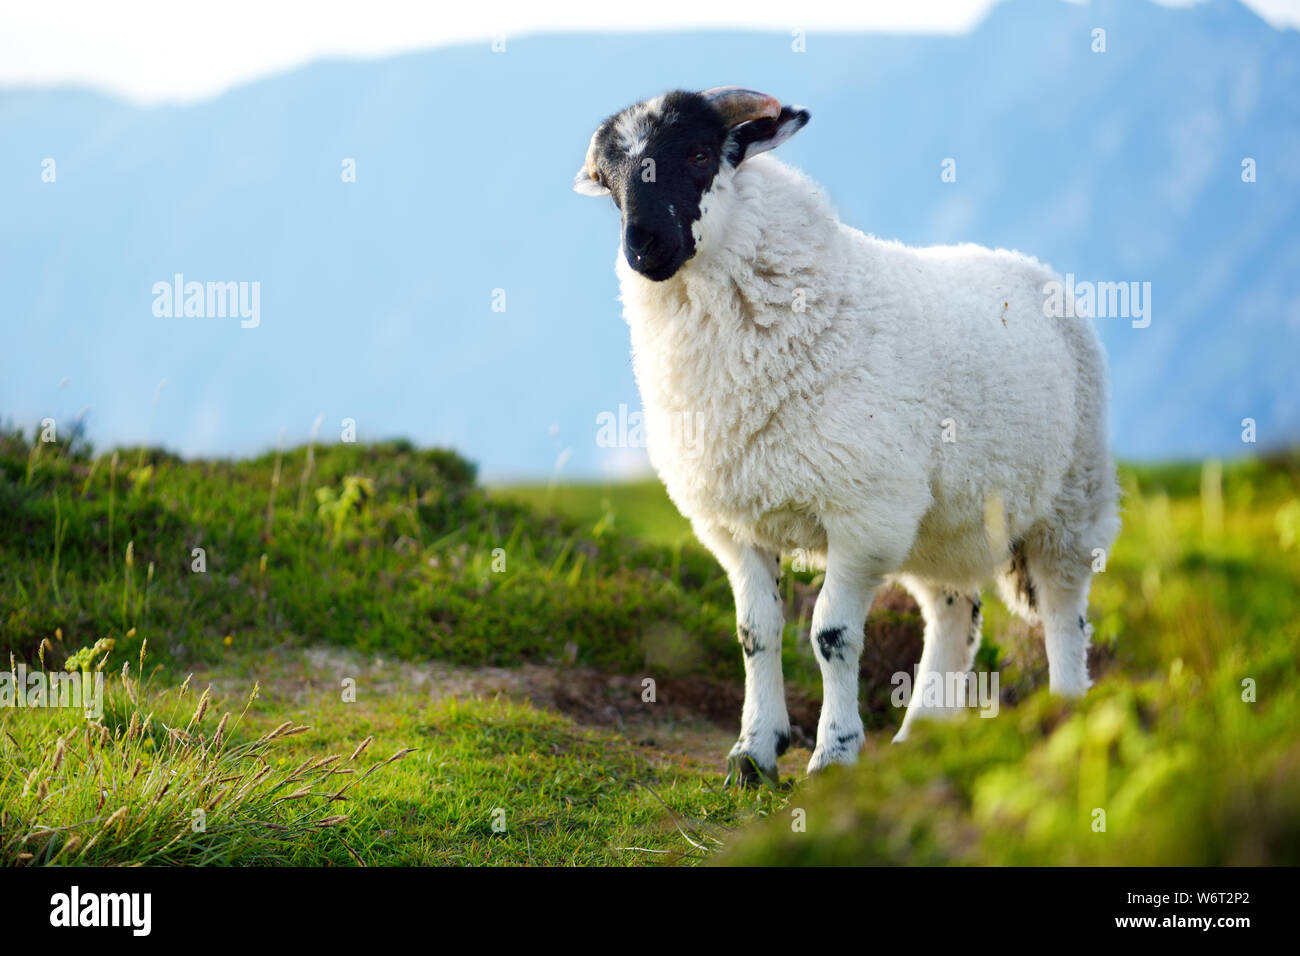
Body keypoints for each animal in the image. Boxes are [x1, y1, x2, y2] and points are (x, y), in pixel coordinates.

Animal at [574, 87, 1121, 785]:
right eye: (608, 179)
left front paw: (833, 754)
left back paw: (1068, 711)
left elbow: (830, 636)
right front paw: (754, 752)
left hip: (1071, 496)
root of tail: (1026, 264)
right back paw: (922, 734)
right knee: (953, 614)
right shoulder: (734, 525)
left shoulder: (864, 516)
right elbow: (755, 632)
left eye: (698, 153)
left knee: (1062, 607)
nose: (644, 246)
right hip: (944, 519)